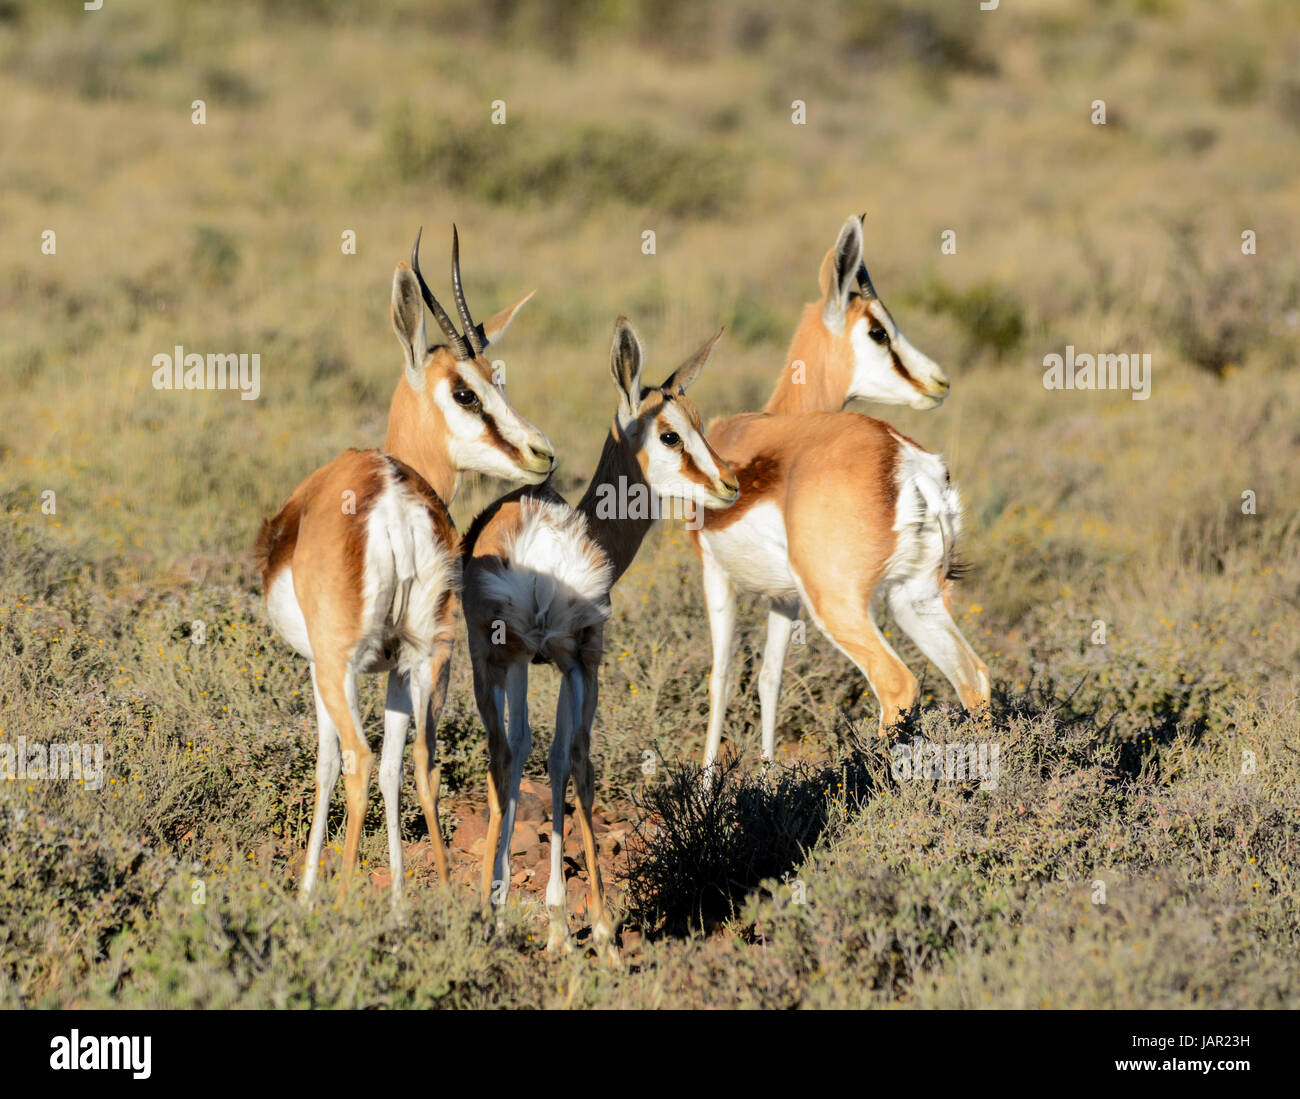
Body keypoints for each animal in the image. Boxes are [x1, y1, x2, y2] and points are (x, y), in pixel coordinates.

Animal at [254, 227, 554, 906]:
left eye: (493, 380)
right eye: (468, 389)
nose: (541, 451)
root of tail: (391, 497)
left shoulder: (322, 665)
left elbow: (327, 763)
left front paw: (308, 894)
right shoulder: (396, 665)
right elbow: (397, 766)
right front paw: (395, 900)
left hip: (346, 664)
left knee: (359, 761)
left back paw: (339, 901)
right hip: (431, 653)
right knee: (421, 763)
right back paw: (442, 897)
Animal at [462, 317, 739, 958]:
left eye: (699, 421)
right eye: (669, 434)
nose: (730, 484)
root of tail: (536, 540)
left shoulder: (526, 660)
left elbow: (529, 753)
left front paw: (535, 916)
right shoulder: (575, 657)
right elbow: (561, 759)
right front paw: (567, 926)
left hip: (493, 659)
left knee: (503, 753)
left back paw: (486, 918)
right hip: (578, 661)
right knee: (576, 760)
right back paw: (605, 934)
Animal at [694, 215, 991, 773]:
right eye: (878, 330)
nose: (938, 381)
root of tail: (907, 459)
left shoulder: (716, 573)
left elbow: (720, 680)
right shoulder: (783, 596)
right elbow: (770, 679)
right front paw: (765, 775)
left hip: (840, 605)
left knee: (898, 685)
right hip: (913, 599)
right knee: (974, 679)